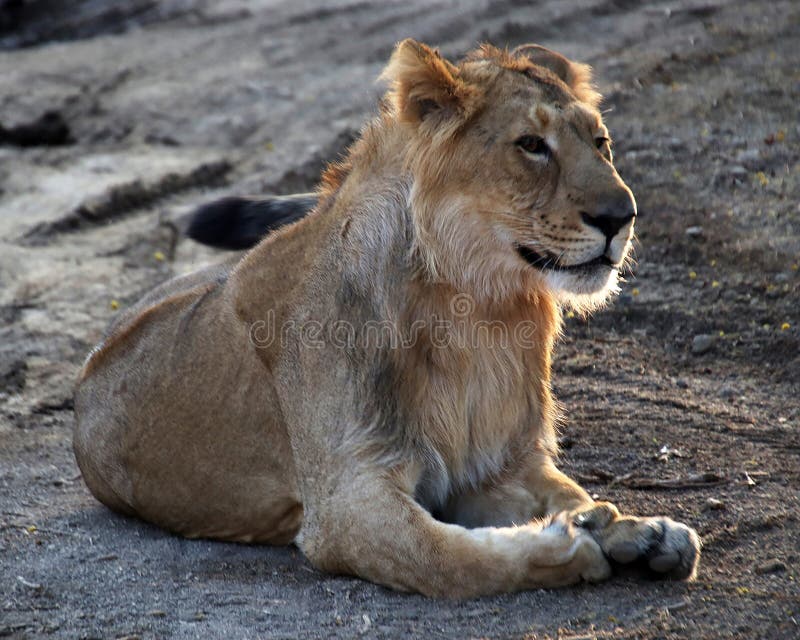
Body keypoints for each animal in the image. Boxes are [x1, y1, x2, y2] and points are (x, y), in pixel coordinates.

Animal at [73, 39, 700, 598]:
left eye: (600, 142)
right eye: (531, 145)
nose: (622, 216)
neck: (478, 309)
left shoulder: (496, 466)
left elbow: (571, 492)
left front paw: (638, 530)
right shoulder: (345, 502)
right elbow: (450, 561)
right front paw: (568, 544)